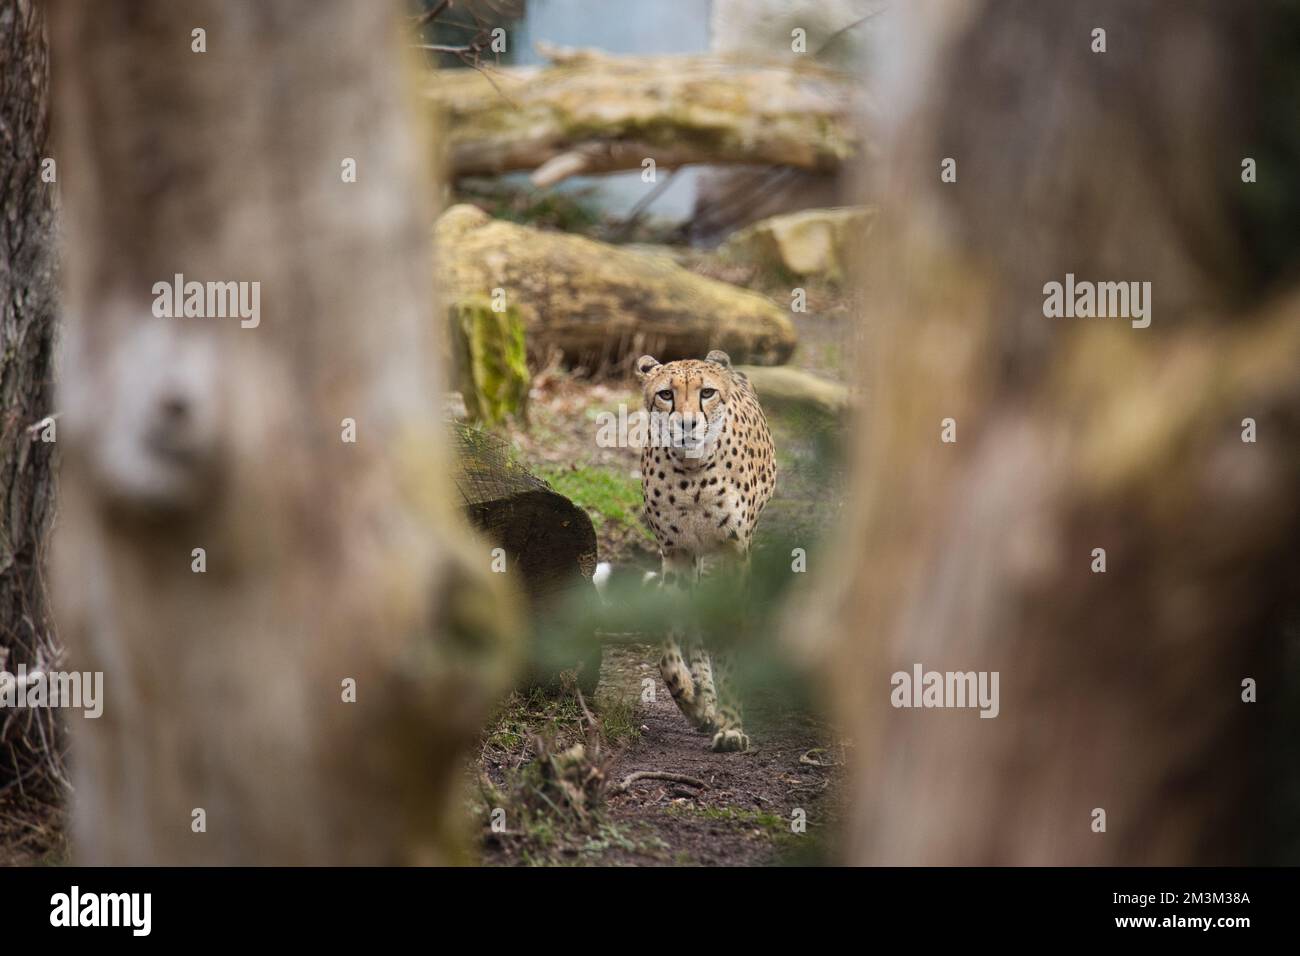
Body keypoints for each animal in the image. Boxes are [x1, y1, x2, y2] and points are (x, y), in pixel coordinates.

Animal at [634, 349, 777, 752]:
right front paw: (693, 701)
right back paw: (704, 704)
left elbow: (730, 638)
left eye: (707, 393)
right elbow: (669, 648)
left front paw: (731, 726)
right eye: (666, 394)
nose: (687, 424)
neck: (692, 473)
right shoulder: (676, 551)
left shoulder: (735, 552)